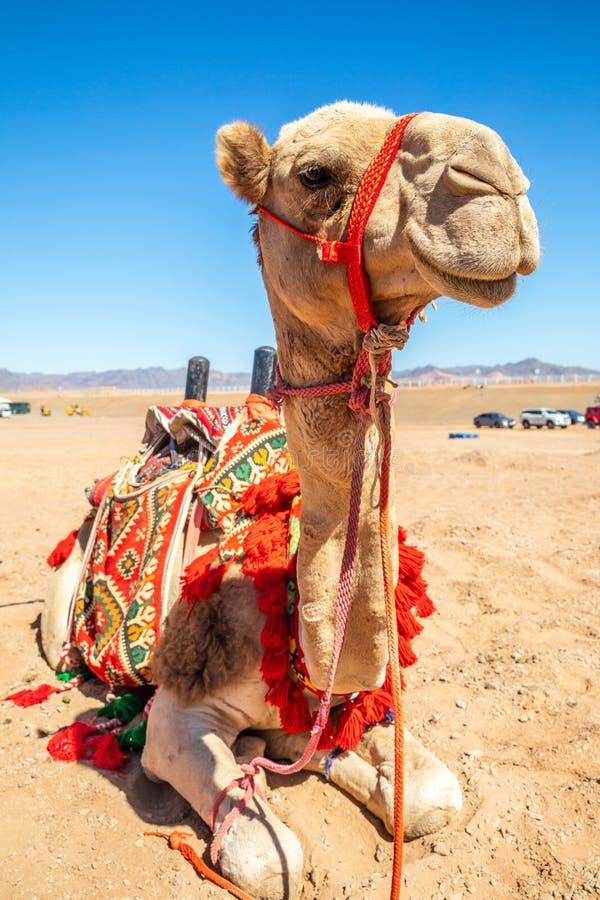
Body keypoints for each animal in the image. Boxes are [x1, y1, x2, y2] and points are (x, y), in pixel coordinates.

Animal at [41, 102, 539, 899]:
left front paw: (333, 758)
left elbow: (433, 795)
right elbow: (268, 858)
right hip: (60, 614)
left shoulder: (364, 700)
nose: (499, 181)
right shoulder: (176, 714)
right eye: (315, 173)